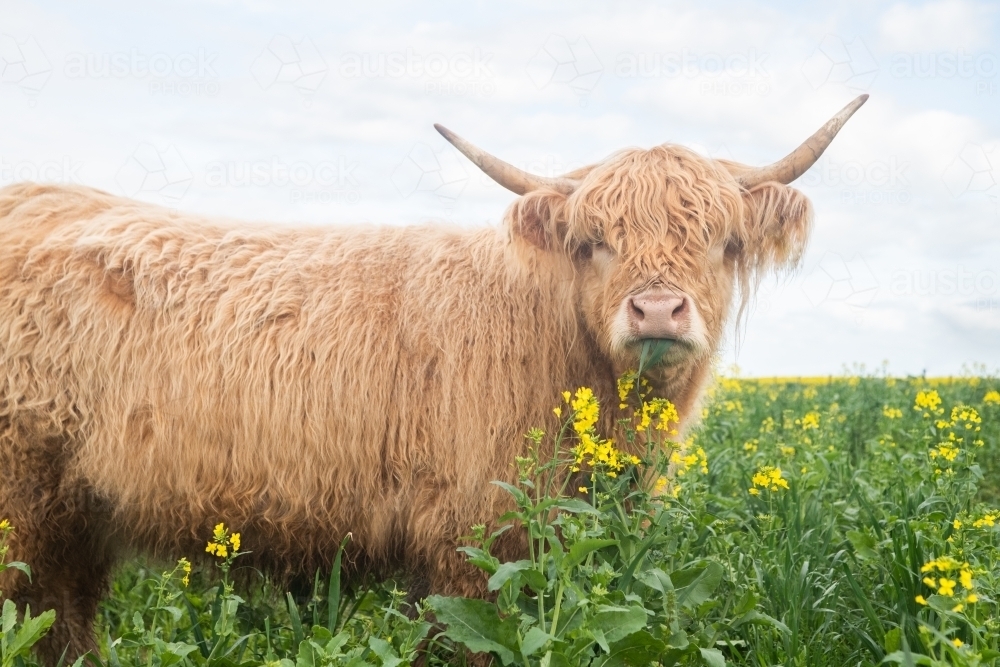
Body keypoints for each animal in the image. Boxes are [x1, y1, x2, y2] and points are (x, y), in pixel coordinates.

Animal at [0, 95, 867, 663]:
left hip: (77, 518)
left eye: (722, 240)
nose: (657, 309)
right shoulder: (472, 543)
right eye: (594, 241)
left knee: (65, 624)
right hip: (26, 507)